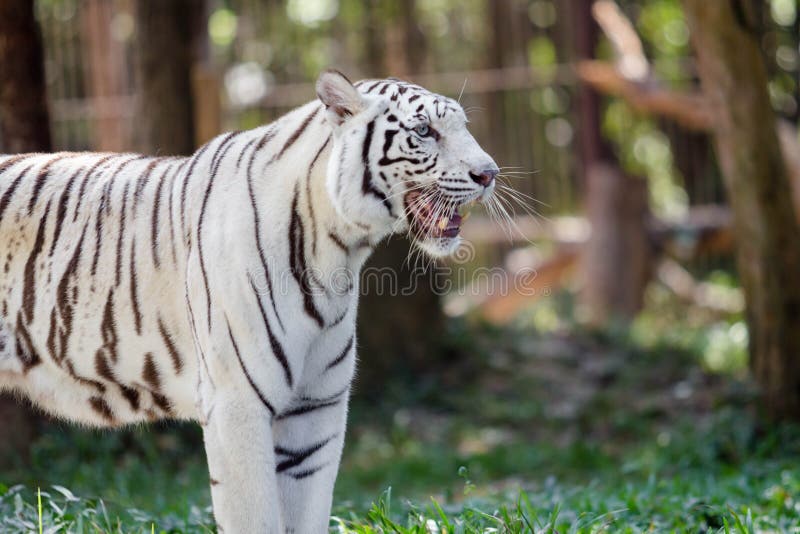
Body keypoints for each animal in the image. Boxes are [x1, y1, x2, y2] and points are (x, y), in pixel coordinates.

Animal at [0, 70, 497, 533]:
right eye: (424, 131)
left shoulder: (316, 409)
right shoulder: (236, 403)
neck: (338, 252)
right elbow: (255, 516)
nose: (489, 174)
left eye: (464, 126)